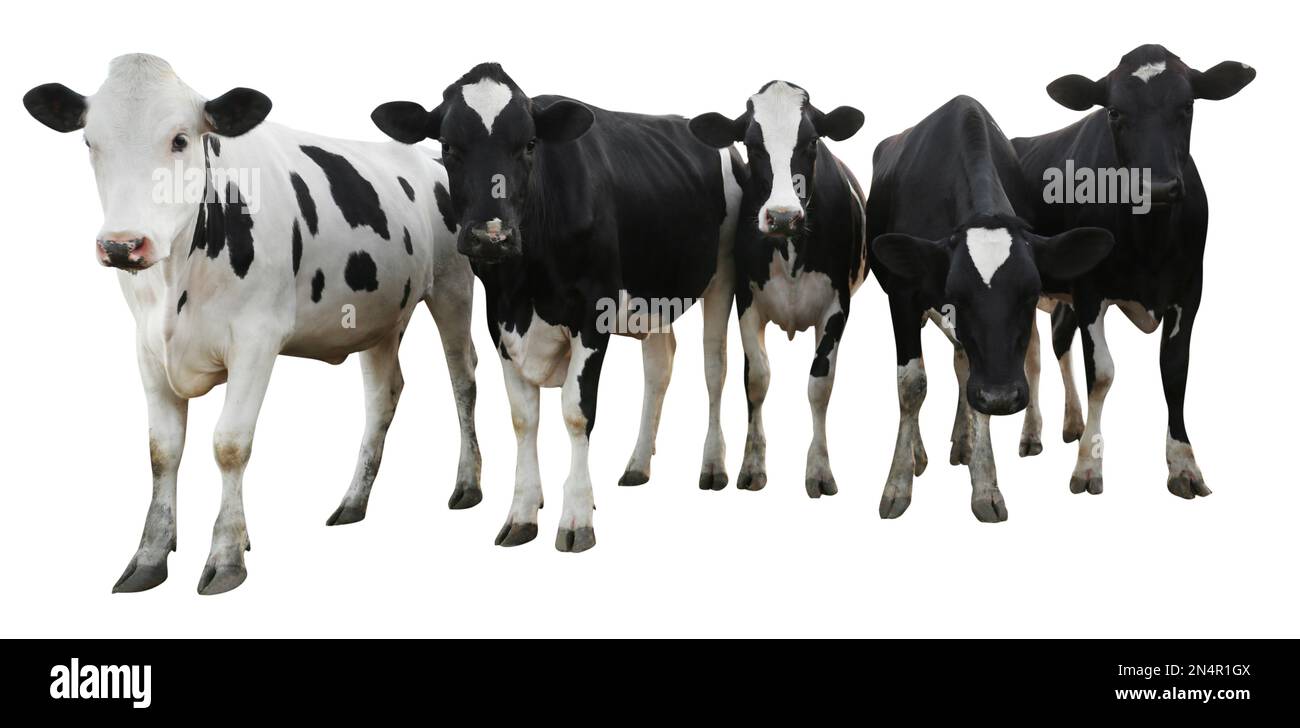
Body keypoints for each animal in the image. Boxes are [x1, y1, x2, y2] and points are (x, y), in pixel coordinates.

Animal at [23, 54, 480, 594]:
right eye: (90, 142)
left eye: (180, 139)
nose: (121, 245)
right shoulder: (147, 346)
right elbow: (162, 450)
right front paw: (150, 556)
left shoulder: (257, 340)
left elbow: (229, 444)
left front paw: (226, 555)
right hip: (379, 315)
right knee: (382, 395)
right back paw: (352, 502)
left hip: (453, 288)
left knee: (462, 379)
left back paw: (467, 485)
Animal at [371, 63, 741, 552]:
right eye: (447, 145)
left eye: (530, 144)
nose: (491, 236)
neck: (528, 283)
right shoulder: (499, 320)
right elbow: (523, 419)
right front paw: (523, 513)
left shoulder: (592, 315)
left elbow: (576, 412)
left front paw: (577, 517)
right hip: (654, 291)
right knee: (659, 367)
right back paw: (638, 465)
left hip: (722, 276)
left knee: (714, 366)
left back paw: (713, 466)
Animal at [689, 81, 866, 497]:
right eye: (752, 144)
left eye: (812, 141)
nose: (783, 216)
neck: (790, 248)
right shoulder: (747, 301)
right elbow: (756, 378)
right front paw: (752, 465)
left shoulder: (837, 307)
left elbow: (819, 384)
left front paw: (819, 470)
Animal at [866, 96, 1114, 521]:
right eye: (957, 294)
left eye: (1031, 293)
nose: (1001, 398)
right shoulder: (901, 295)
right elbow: (911, 385)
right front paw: (898, 484)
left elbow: (973, 383)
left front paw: (984, 486)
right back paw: (919, 454)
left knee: (962, 364)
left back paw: (961, 444)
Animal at [1013, 45, 1255, 499]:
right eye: (1113, 112)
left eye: (1187, 106)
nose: (1156, 187)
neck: (1150, 242)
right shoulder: (1090, 291)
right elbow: (1101, 373)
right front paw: (1088, 465)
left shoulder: (1189, 292)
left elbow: (1174, 370)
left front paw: (1184, 463)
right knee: (1031, 357)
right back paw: (1032, 433)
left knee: (1057, 343)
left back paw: (1072, 422)